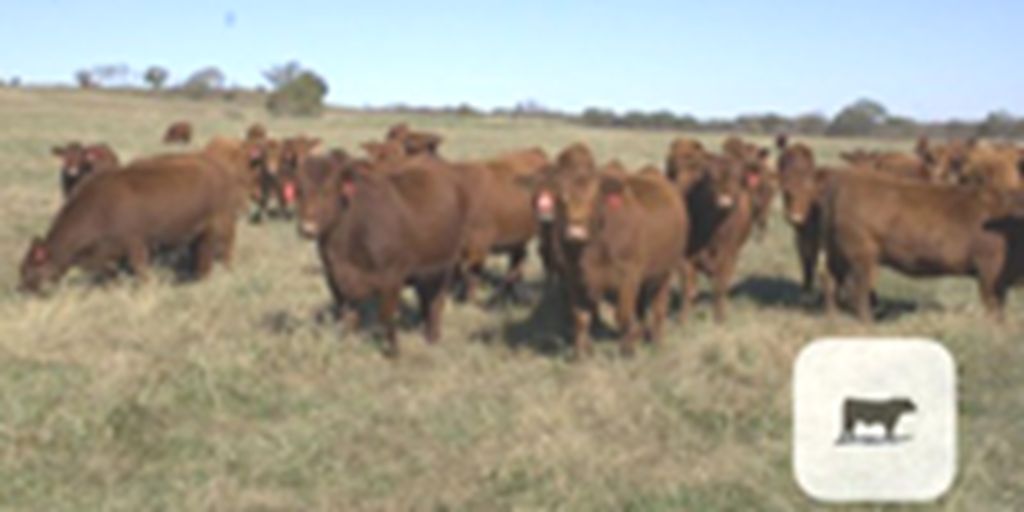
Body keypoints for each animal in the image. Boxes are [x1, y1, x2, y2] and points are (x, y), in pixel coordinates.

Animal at [19, 153, 243, 293]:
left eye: (29, 270)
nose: (20, 290)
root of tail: (217, 164)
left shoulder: (136, 243)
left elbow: (141, 271)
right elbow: (112, 273)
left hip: (221, 223)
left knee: (223, 248)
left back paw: (220, 272)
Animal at [294, 154, 472, 358]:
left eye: (330, 190)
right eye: (299, 190)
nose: (307, 228)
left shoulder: (391, 278)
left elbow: (386, 316)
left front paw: (393, 351)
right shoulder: (334, 279)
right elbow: (347, 316)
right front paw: (345, 345)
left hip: (446, 264)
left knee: (437, 300)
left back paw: (432, 336)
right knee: (424, 295)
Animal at [551, 170, 689, 358]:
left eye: (595, 198)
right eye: (561, 199)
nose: (575, 231)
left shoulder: (628, 276)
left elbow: (622, 315)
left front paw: (628, 347)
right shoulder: (574, 278)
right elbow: (580, 317)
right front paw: (578, 355)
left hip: (664, 273)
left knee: (659, 308)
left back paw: (657, 343)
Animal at [818, 171, 1024, 322]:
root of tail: (846, 181)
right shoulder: (989, 269)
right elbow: (993, 305)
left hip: (837, 253)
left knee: (830, 280)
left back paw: (832, 318)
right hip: (861, 255)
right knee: (858, 290)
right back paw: (868, 323)